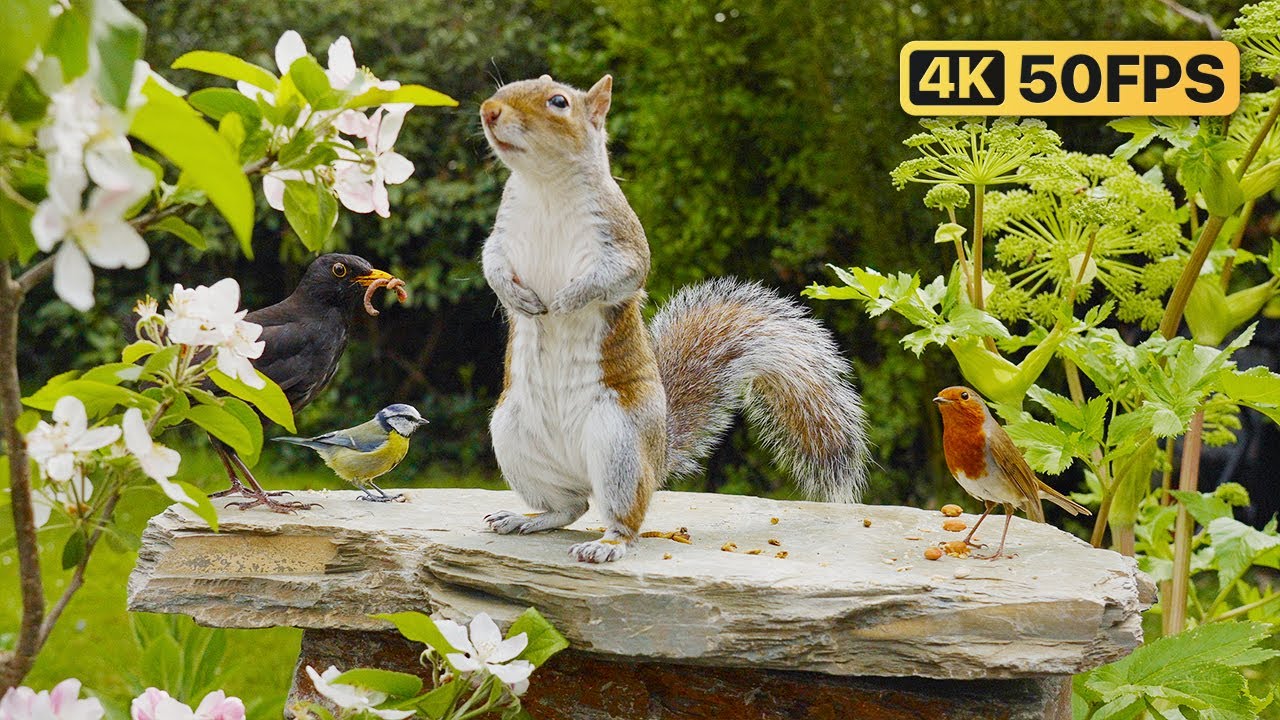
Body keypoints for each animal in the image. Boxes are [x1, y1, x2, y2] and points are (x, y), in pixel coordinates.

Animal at [478, 74, 869, 563]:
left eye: (558, 101)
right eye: (505, 87)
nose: (489, 110)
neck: (544, 186)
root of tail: (657, 453)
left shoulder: (623, 238)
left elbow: (622, 274)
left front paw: (568, 299)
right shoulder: (502, 234)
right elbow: (491, 261)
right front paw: (517, 297)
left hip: (619, 445)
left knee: (621, 515)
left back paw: (607, 544)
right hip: (512, 436)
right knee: (569, 506)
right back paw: (524, 518)